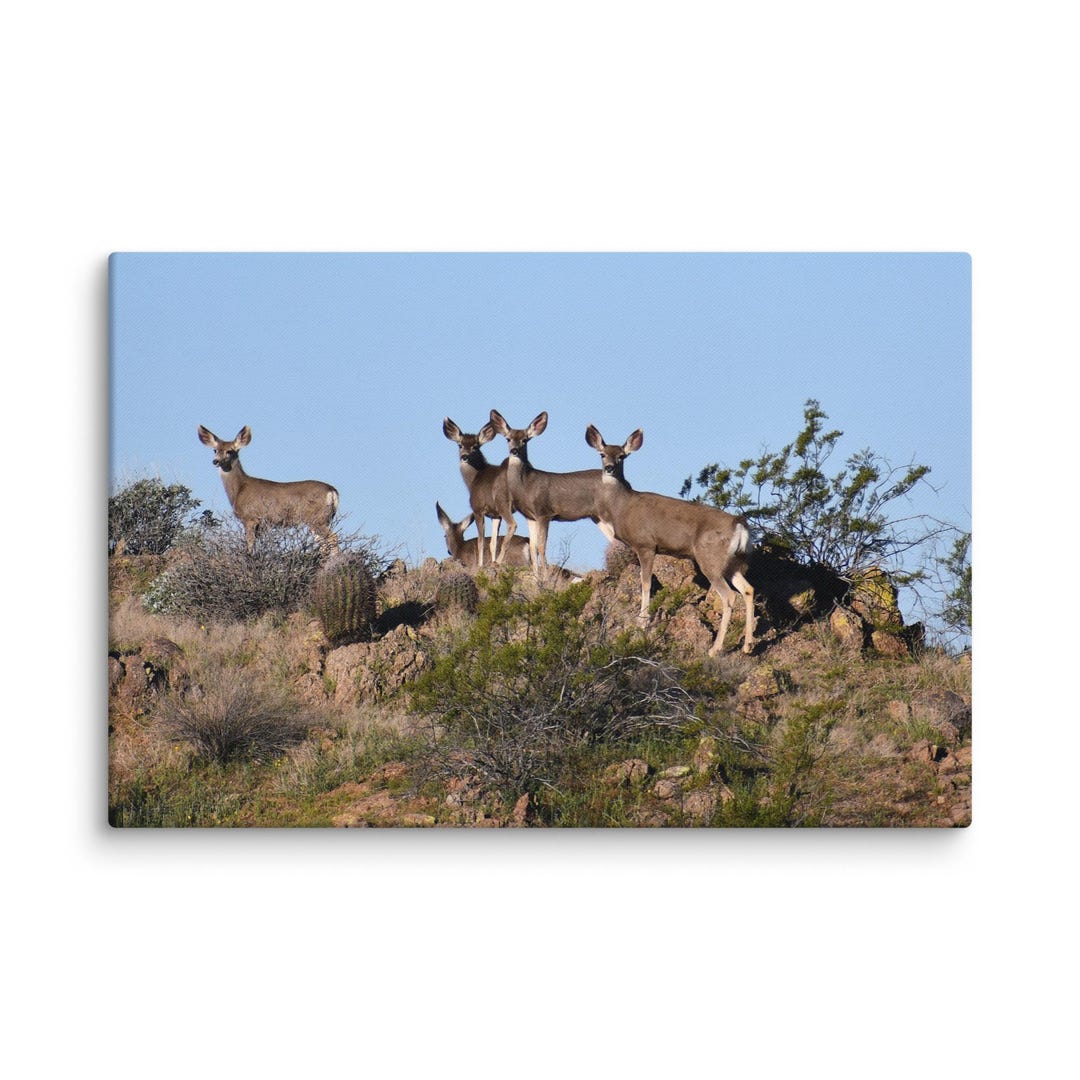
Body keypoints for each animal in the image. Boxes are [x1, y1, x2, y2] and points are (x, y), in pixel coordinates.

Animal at [196, 424, 340, 555]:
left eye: (230, 451)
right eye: (215, 450)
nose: (215, 461)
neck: (239, 489)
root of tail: (332, 491)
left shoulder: (250, 517)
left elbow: (249, 547)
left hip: (316, 518)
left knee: (333, 538)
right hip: (323, 519)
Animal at [442, 417, 518, 567]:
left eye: (475, 446)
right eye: (460, 445)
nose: (464, 457)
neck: (473, 480)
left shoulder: (478, 509)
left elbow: (481, 542)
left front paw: (481, 565)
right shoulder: (495, 515)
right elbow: (493, 543)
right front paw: (491, 561)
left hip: (503, 502)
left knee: (513, 524)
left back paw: (499, 561)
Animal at [489, 410, 614, 573]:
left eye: (525, 440)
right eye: (508, 439)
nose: (514, 451)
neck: (526, 486)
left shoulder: (544, 512)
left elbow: (542, 547)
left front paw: (545, 575)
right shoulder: (530, 517)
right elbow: (533, 548)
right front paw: (537, 577)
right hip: (596, 517)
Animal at [584, 424, 756, 656]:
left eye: (622, 456)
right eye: (602, 454)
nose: (609, 468)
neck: (622, 507)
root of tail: (738, 524)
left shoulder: (646, 544)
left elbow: (645, 583)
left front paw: (642, 621)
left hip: (709, 558)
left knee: (729, 596)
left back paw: (714, 649)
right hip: (733, 562)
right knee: (748, 589)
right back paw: (747, 645)